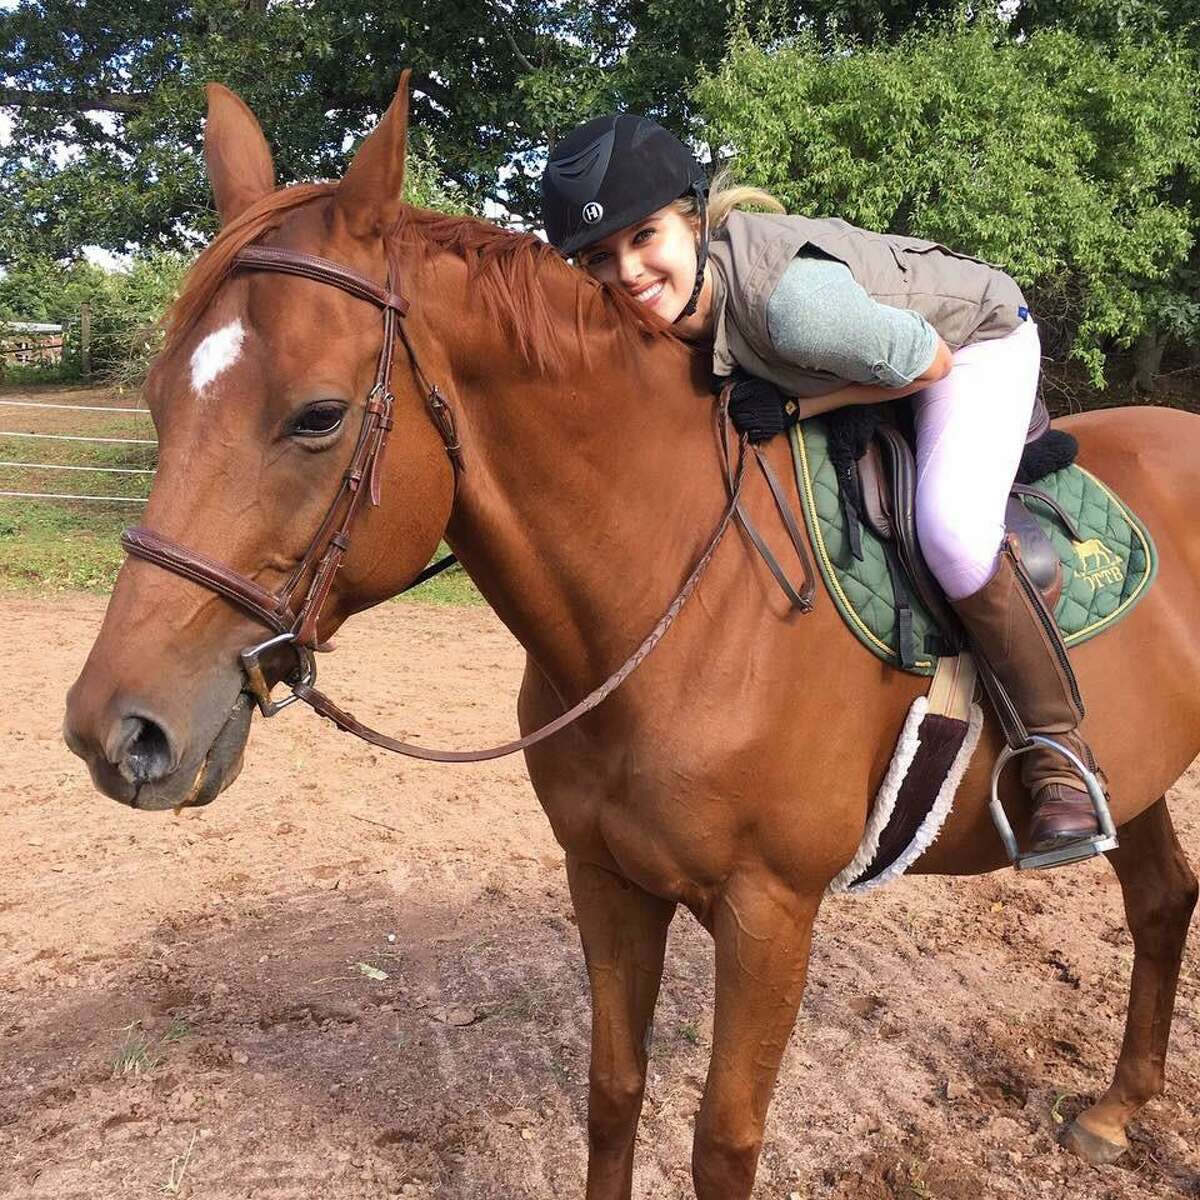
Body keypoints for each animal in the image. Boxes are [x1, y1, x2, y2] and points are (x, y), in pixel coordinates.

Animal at [63, 75, 1200, 1199]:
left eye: (318, 416)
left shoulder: (768, 913)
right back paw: (1112, 1113)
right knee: (1161, 901)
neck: (678, 605)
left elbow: (724, 1142)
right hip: (1139, 775)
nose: (114, 732)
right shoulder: (605, 879)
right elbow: (613, 1094)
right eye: (159, 398)